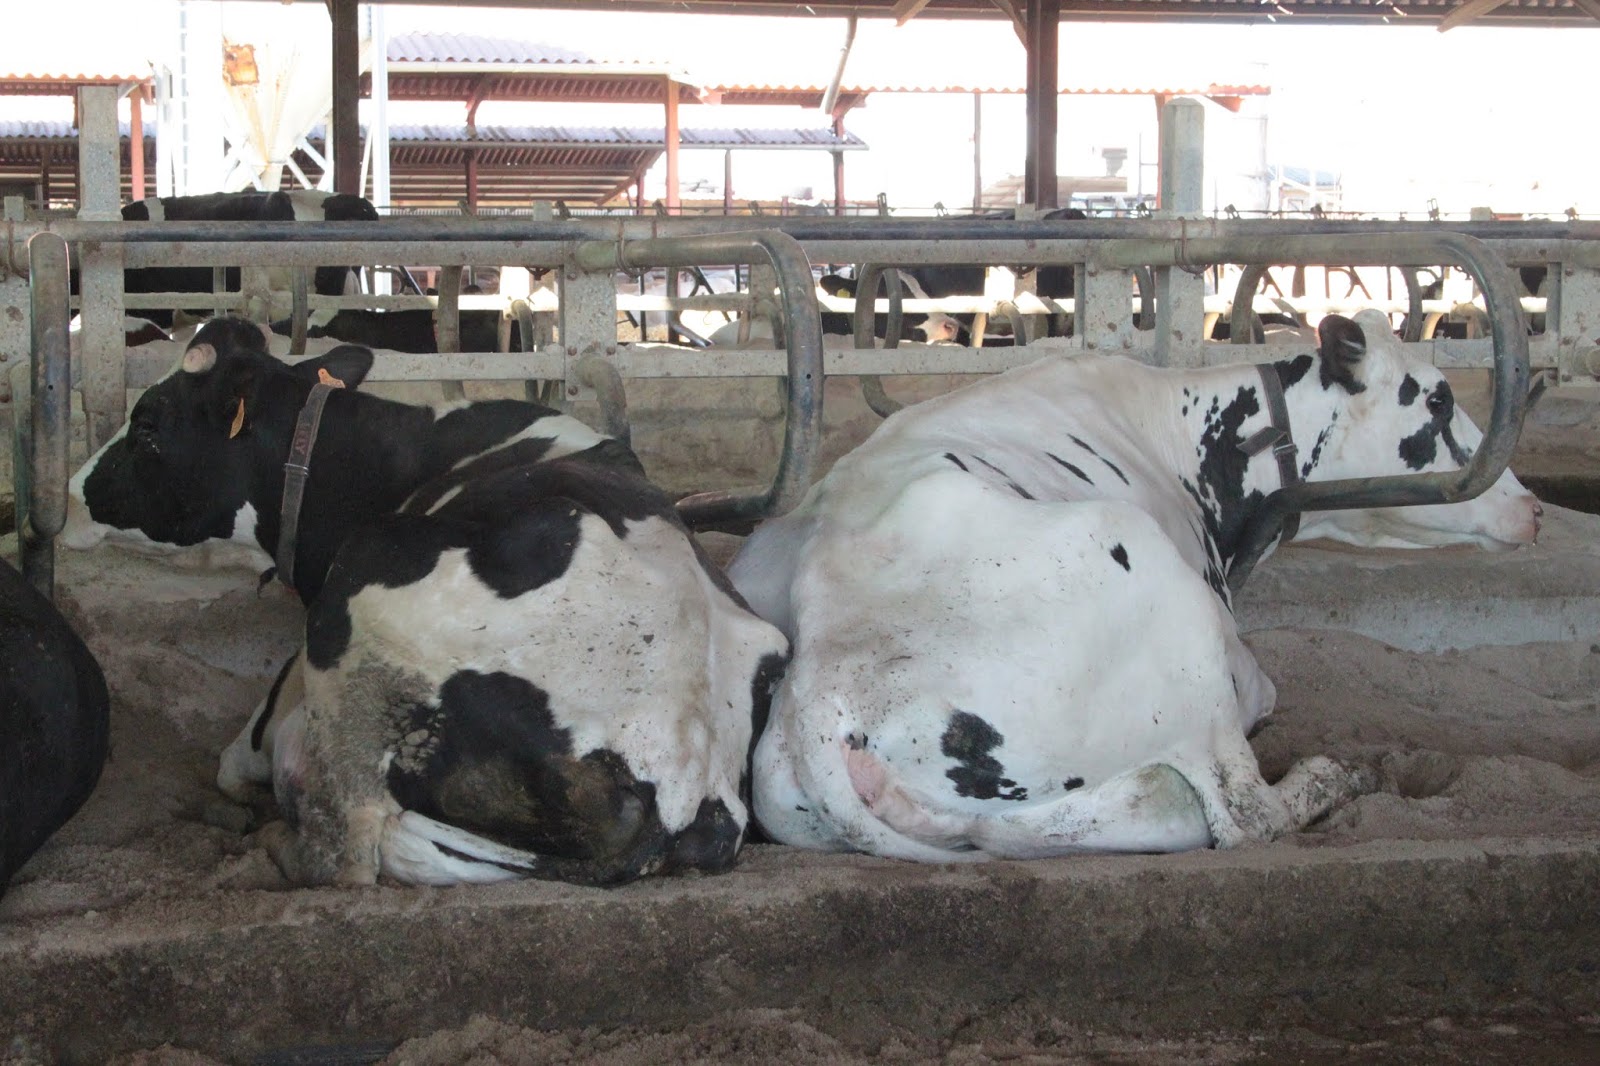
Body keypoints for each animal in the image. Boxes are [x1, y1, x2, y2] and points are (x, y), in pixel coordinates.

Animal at [61, 316, 788, 887]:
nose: (69, 494)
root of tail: (683, 776)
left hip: (361, 611)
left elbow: (236, 760)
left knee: (345, 847)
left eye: (146, 424)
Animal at [727, 309, 1541, 861]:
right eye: (1437, 400)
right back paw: (1339, 775)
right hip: (1170, 618)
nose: (1532, 507)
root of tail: (822, 691)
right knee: (1245, 812)